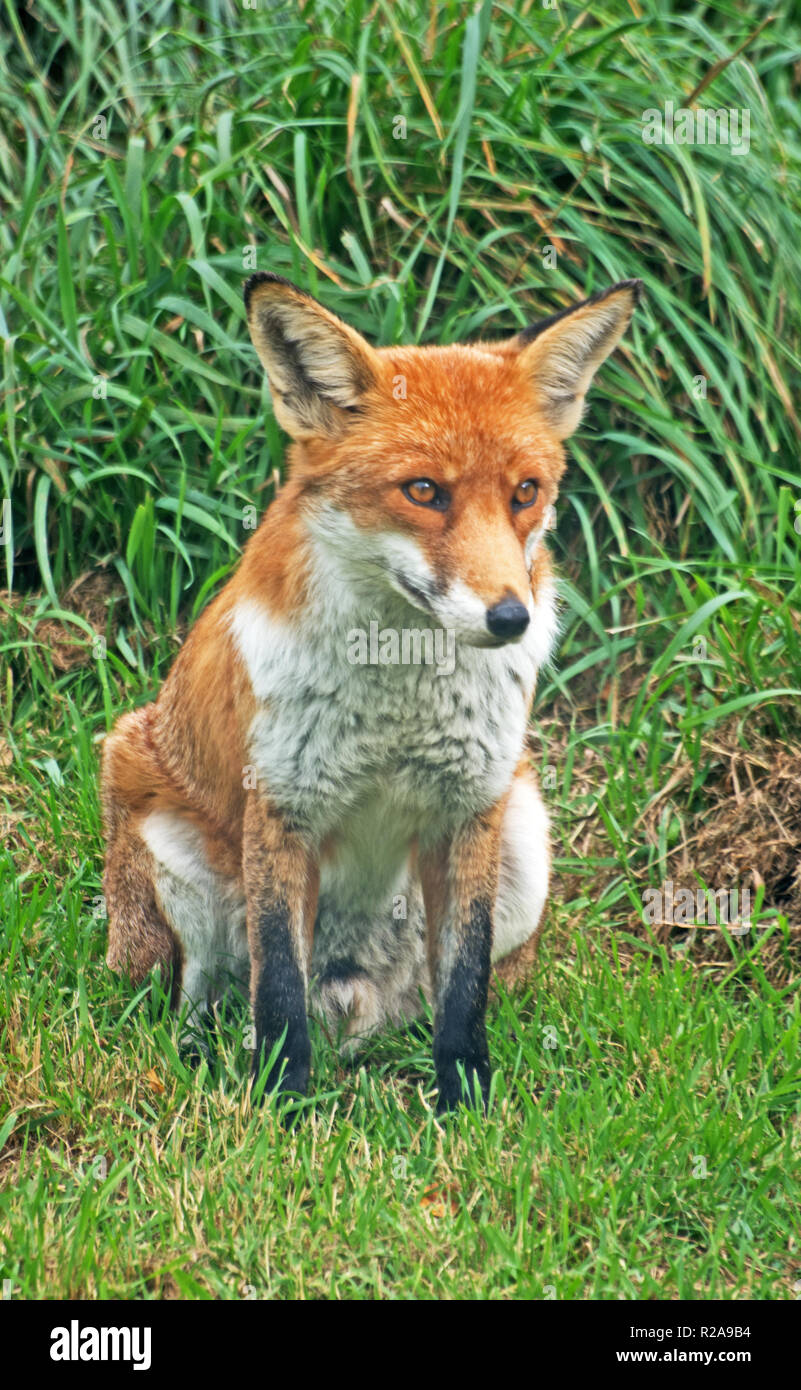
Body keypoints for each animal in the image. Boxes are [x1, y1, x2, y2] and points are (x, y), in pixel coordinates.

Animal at [101, 271, 641, 1113]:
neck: (398, 694)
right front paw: (280, 1106)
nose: (510, 617)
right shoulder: (282, 806)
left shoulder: (468, 808)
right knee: (202, 1000)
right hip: (165, 840)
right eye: (423, 491)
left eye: (525, 492)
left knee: (441, 995)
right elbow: (279, 990)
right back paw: (197, 1058)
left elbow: (465, 987)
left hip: (525, 834)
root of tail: (357, 1007)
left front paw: (465, 1105)